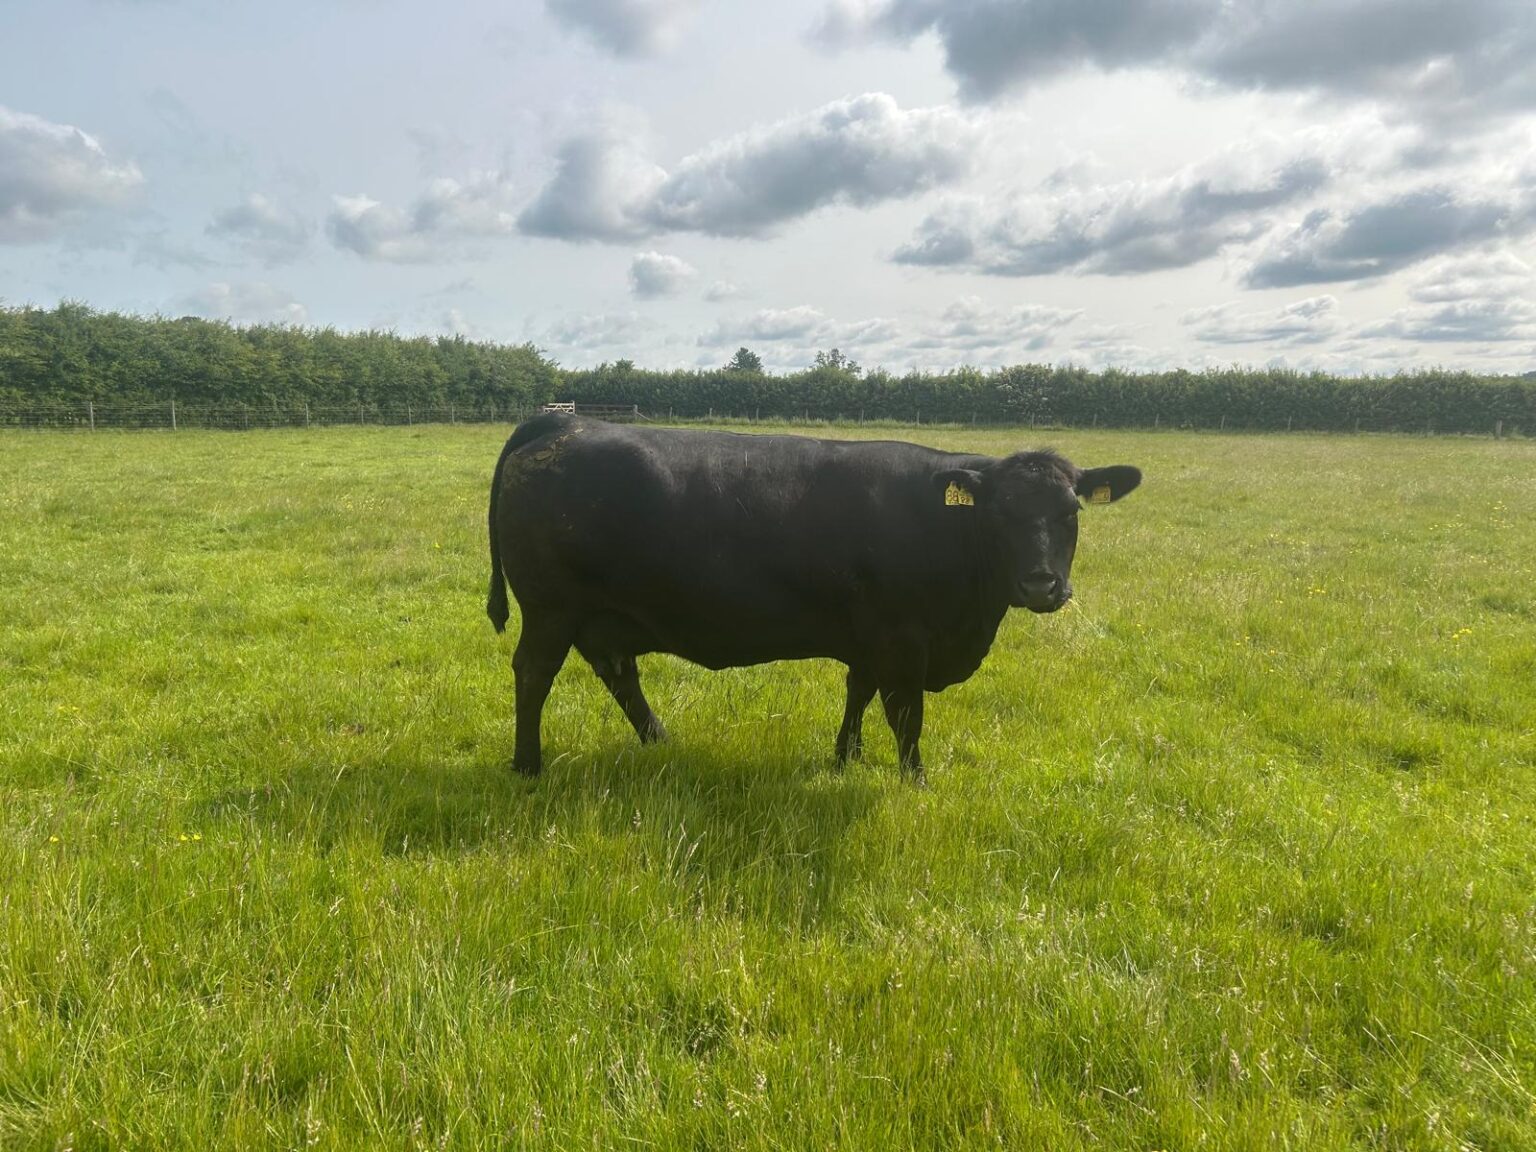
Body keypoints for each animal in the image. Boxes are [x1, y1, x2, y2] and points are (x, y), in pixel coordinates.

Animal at [487, 414, 1140, 782]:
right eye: (1001, 515)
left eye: (1070, 511)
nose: (1041, 585)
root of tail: (565, 424)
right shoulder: (903, 638)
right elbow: (905, 714)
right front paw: (915, 781)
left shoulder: (869, 634)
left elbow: (859, 690)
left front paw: (845, 757)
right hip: (550, 609)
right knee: (534, 674)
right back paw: (528, 766)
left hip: (600, 614)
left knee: (619, 672)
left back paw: (660, 742)